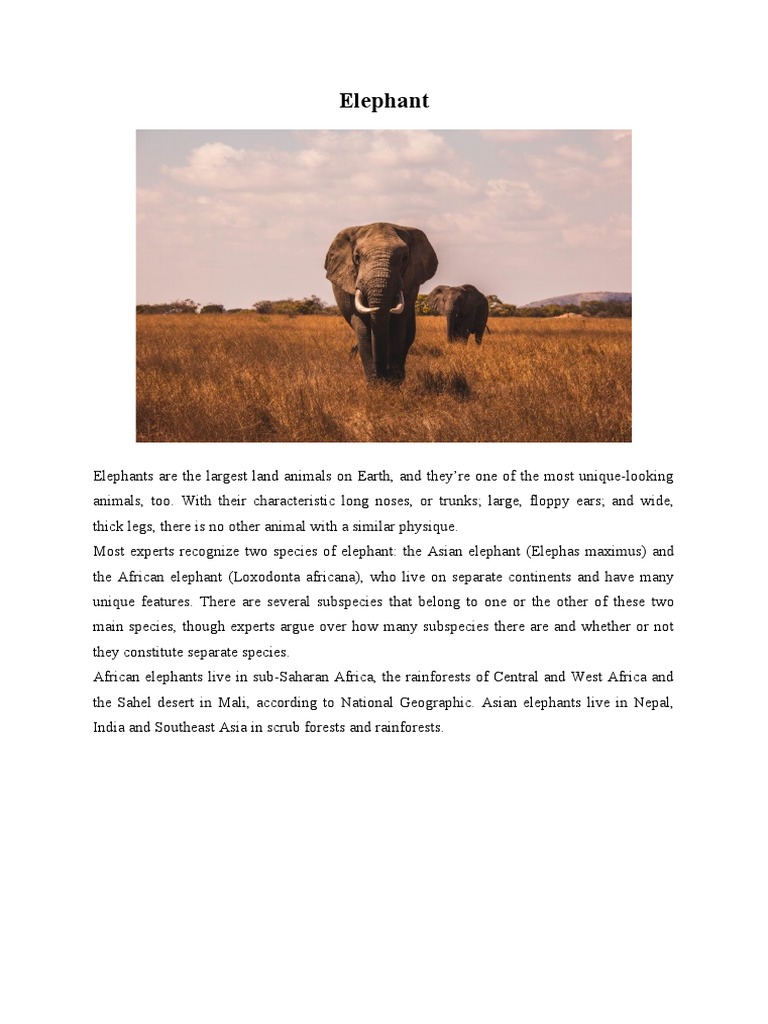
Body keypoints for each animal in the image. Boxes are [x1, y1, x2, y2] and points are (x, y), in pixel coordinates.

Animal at [325, 222, 438, 383]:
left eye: (404, 258)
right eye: (357, 257)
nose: (383, 375)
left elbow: (399, 327)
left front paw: (393, 383)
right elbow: (363, 328)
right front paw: (375, 384)